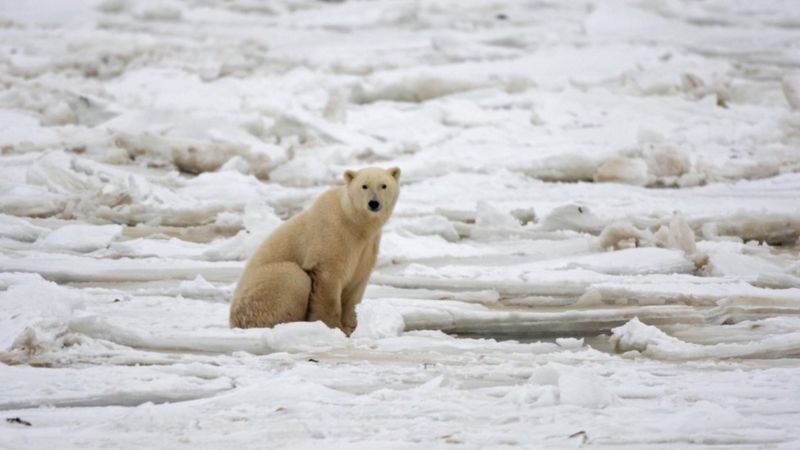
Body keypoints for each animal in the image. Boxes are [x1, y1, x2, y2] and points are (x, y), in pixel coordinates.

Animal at [229, 166, 401, 336]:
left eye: (384, 185)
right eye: (364, 186)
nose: (373, 203)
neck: (354, 222)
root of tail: (233, 322)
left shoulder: (366, 247)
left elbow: (356, 283)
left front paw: (351, 326)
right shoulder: (332, 235)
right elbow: (328, 280)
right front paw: (333, 327)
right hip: (260, 290)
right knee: (292, 276)